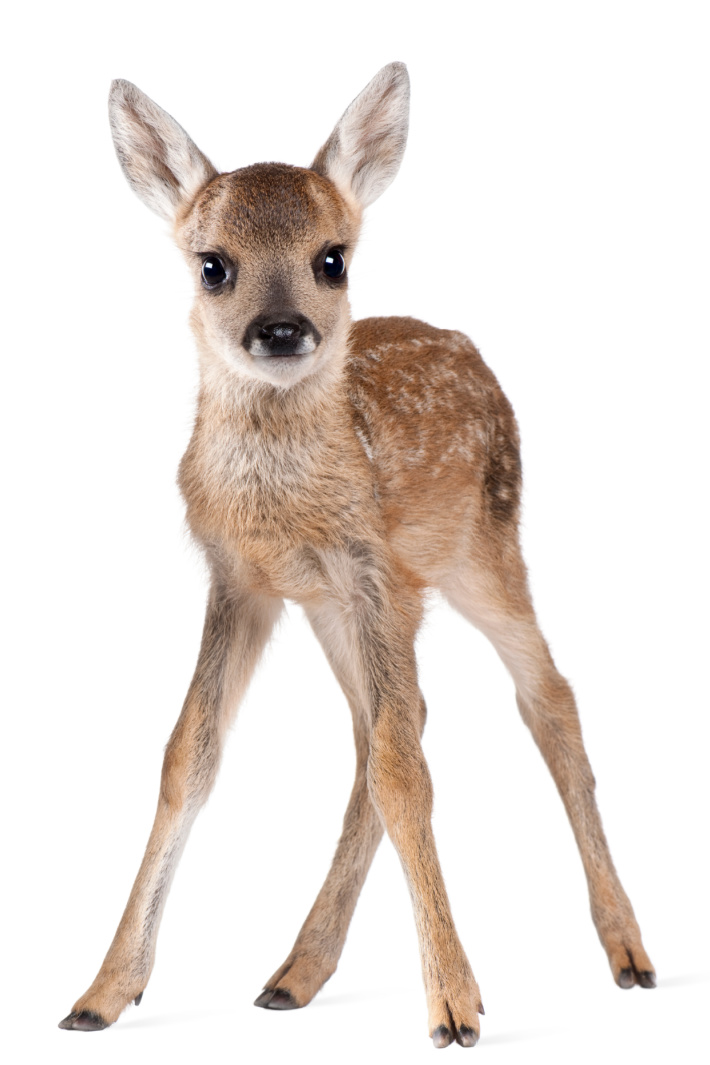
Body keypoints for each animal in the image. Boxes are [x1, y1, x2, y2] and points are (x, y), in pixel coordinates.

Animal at [59, 63, 655, 1048]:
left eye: (332, 258)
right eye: (212, 264)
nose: (282, 329)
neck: (284, 508)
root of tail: (470, 347)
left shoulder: (372, 568)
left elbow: (402, 771)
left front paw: (453, 1006)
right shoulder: (244, 582)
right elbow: (191, 756)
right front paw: (102, 992)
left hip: (482, 551)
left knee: (544, 700)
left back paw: (629, 952)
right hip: (350, 608)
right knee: (388, 728)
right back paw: (295, 973)